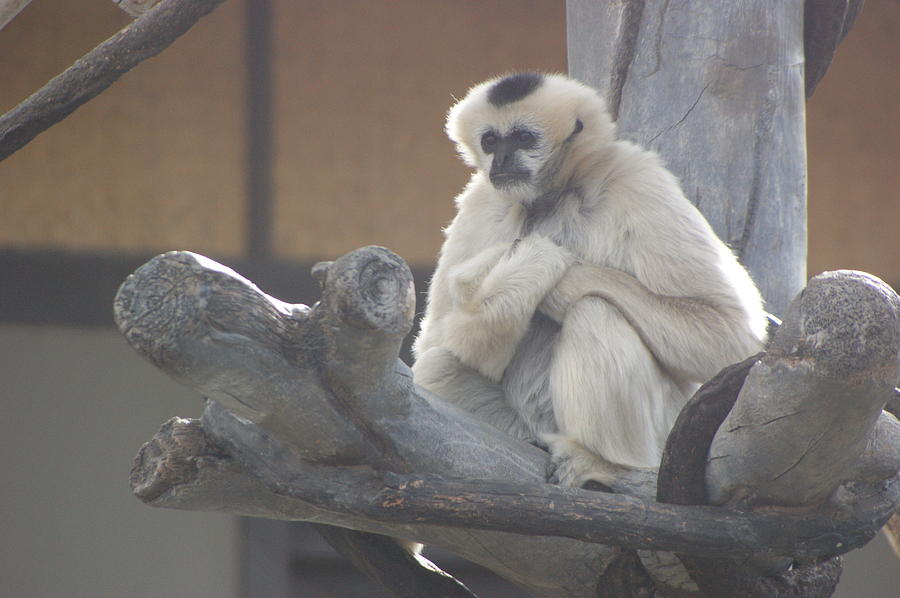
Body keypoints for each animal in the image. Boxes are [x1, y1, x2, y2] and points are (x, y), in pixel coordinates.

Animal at [411, 72, 768, 487]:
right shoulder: (482, 200)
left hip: (665, 429)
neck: (555, 195)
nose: (500, 159)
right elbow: (437, 338)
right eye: (490, 141)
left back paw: (603, 463)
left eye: (523, 138)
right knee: (439, 364)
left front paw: (544, 262)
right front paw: (530, 262)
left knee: (596, 310)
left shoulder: (636, 176)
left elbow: (729, 333)